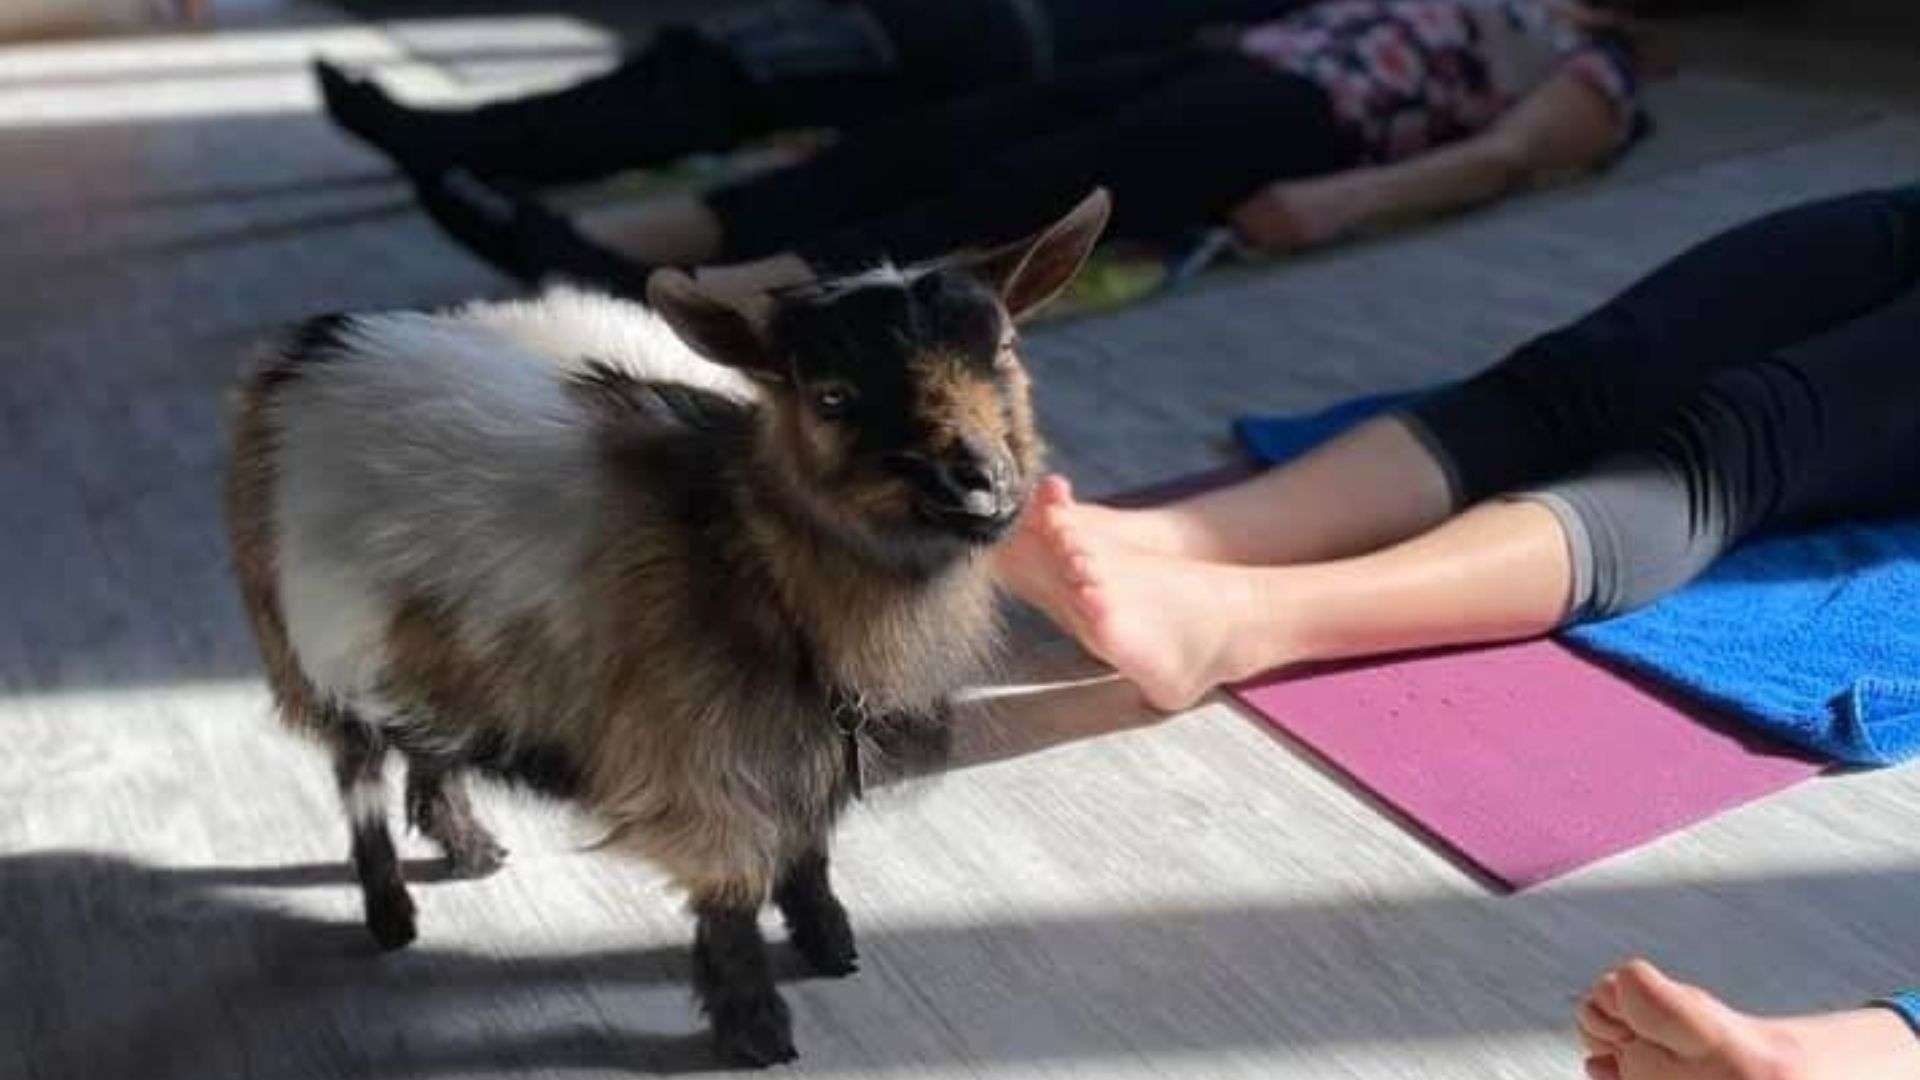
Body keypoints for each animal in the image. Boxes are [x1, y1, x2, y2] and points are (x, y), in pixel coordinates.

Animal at [223, 191, 1109, 1066]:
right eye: (829, 396)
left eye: (1004, 349)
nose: (976, 482)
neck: (746, 551)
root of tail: (309, 348)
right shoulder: (697, 761)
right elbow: (731, 898)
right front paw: (754, 1027)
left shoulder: (806, 746)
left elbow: (808, 851)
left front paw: (828, 942)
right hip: (315, 648)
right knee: (361, 780)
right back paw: (391, 915)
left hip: (436, 646)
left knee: (431, 747)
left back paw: (470, 848)